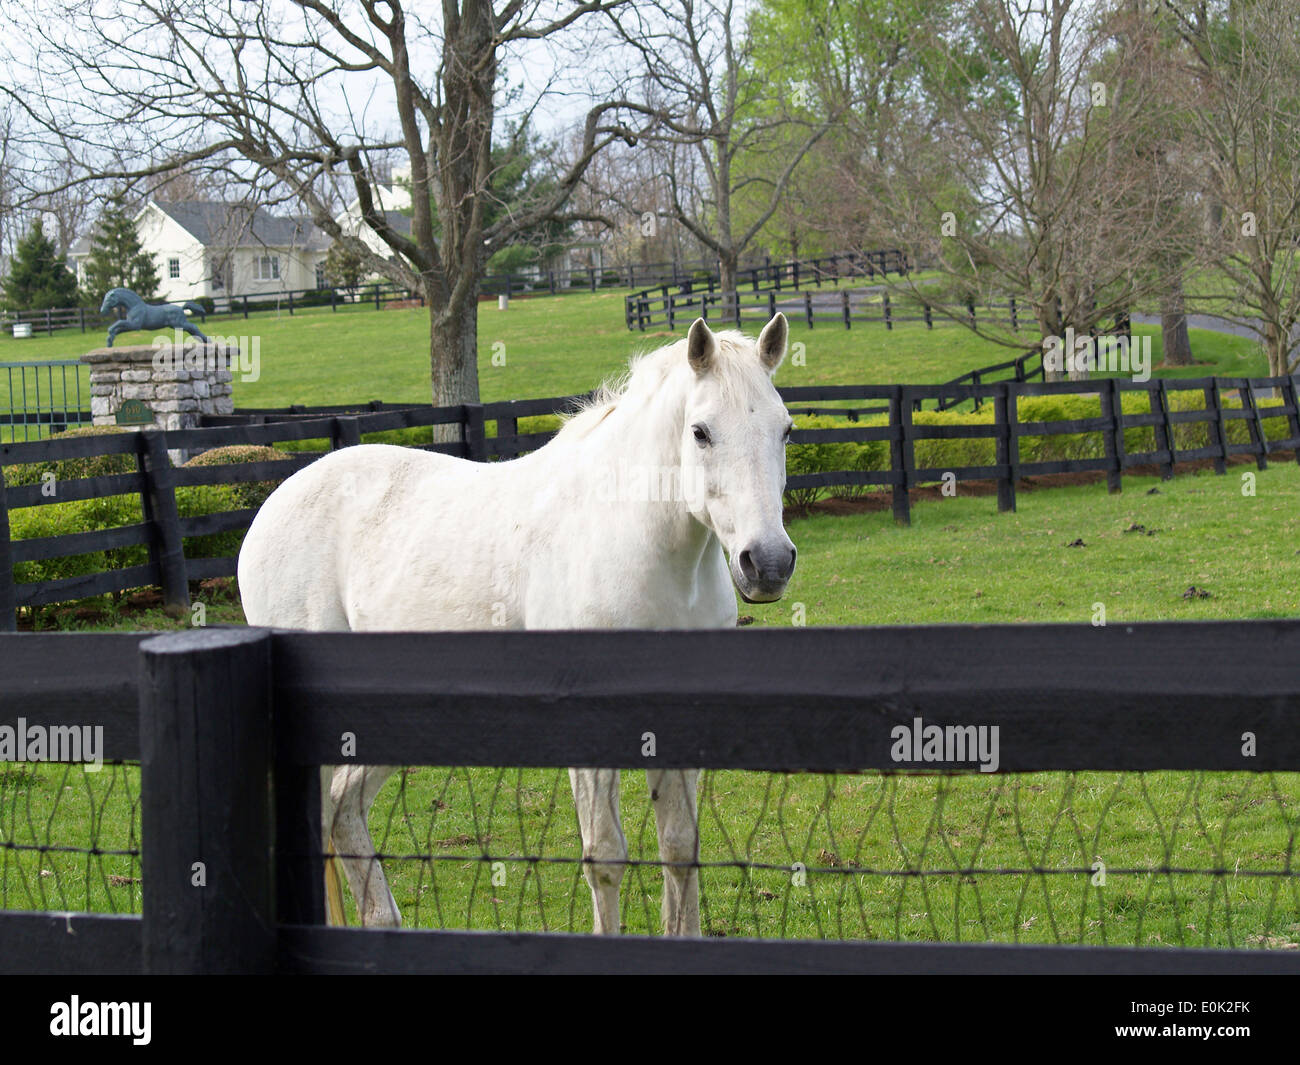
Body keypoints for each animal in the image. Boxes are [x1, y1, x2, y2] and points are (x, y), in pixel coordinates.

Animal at [237, 314, 797, 935]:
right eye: (700, 432)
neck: (630, 538)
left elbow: (679, 849)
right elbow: (605, 856)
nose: (767, 563)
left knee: (343, 808)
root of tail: (276, 502)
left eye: (785, 430)